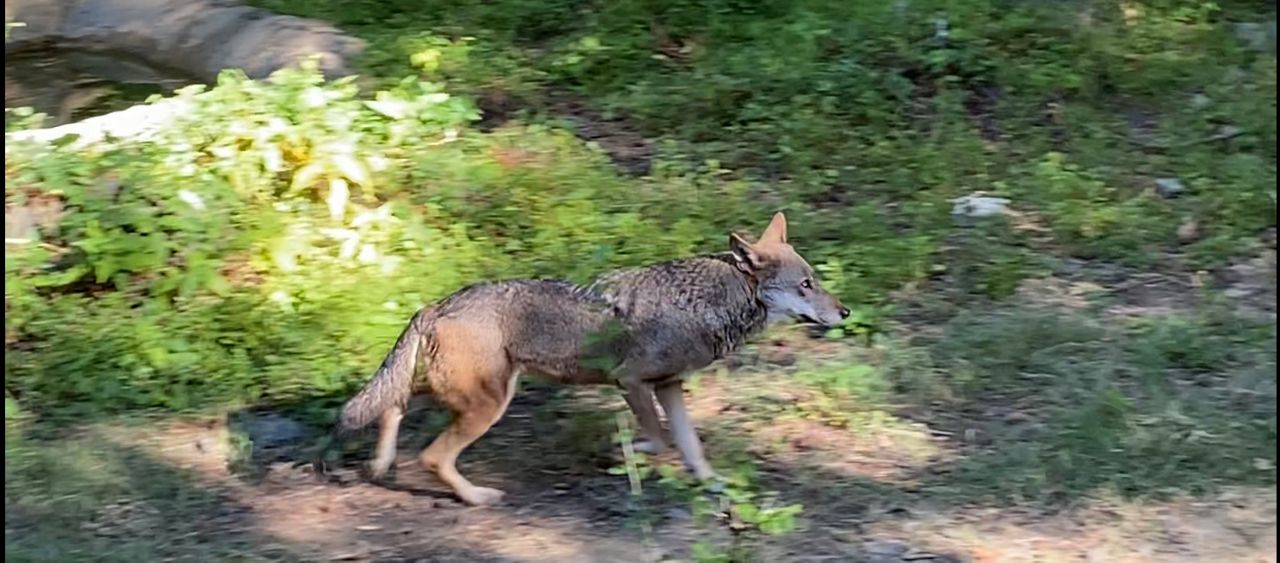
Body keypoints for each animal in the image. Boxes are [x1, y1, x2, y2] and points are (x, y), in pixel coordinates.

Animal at [322, 212, 848, 506]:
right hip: (488, 405)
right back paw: (475, 497)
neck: (705, 303)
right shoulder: (632, 383)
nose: (845, 312)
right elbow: (660, 440)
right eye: (807, 285)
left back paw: (380, 466)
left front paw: (713, 486)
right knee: (431, 454)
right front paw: (626, 451)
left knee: (392, 404)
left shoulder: (669, 387)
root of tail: (434, 305)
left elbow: (691, 447)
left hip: (461, 393)